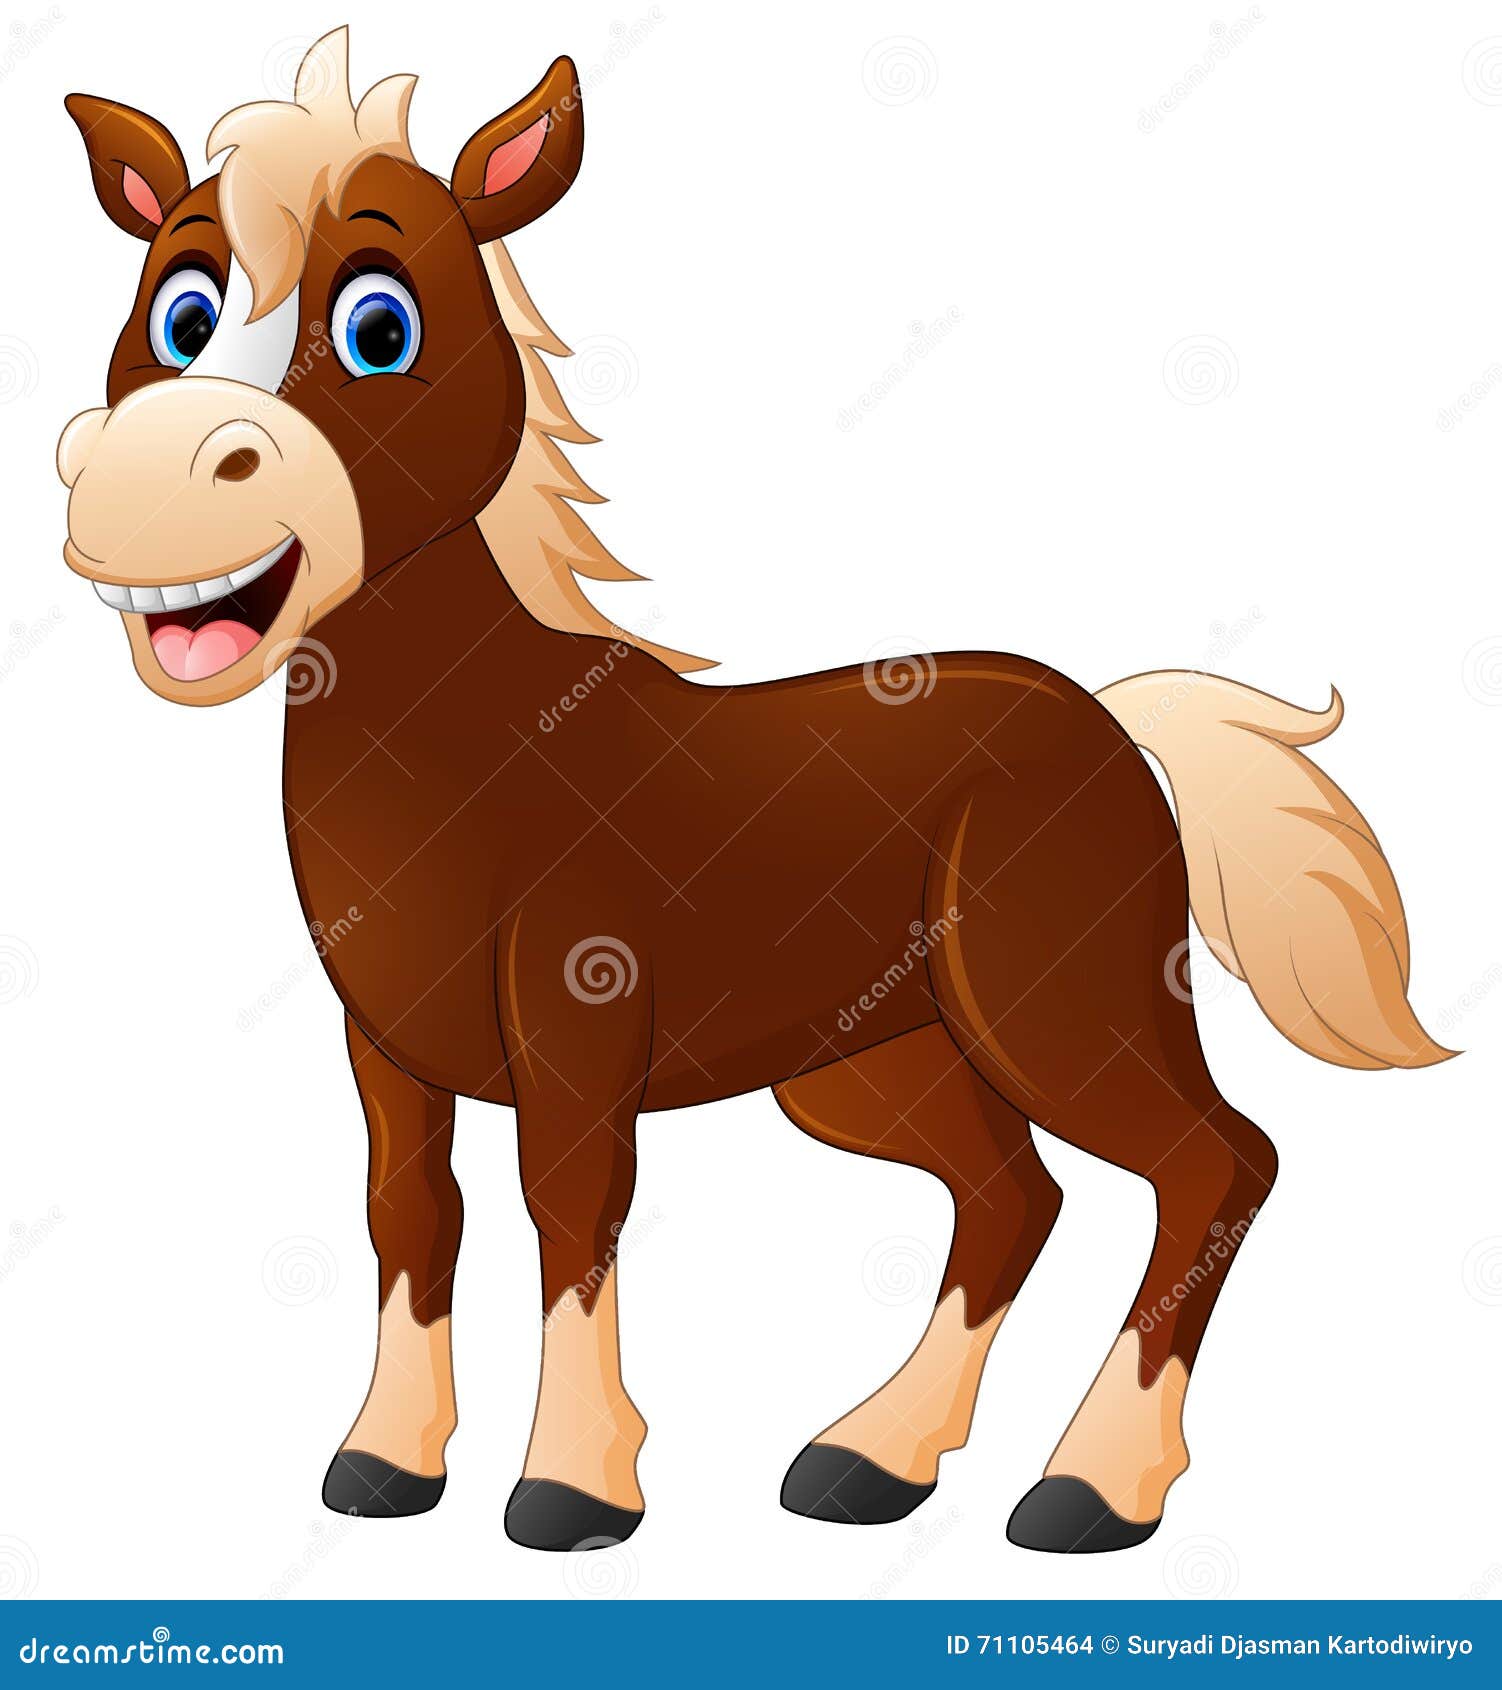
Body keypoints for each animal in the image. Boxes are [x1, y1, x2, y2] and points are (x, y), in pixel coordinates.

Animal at [57, 29, 1451, 1555]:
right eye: (179, 309)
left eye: (382, 322)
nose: (144, 475)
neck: (476, 753)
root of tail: (1111, 725)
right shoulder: (384, 1048)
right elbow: (410, 1216)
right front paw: (382, 1465)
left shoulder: (580, 1020)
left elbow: (570, 1211)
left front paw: (570, 1492)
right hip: (869, 1063)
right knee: (1009, 1196)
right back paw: (870, 1462)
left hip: (1055, 1009)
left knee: (1217, 1163)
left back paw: (1087, 1490)